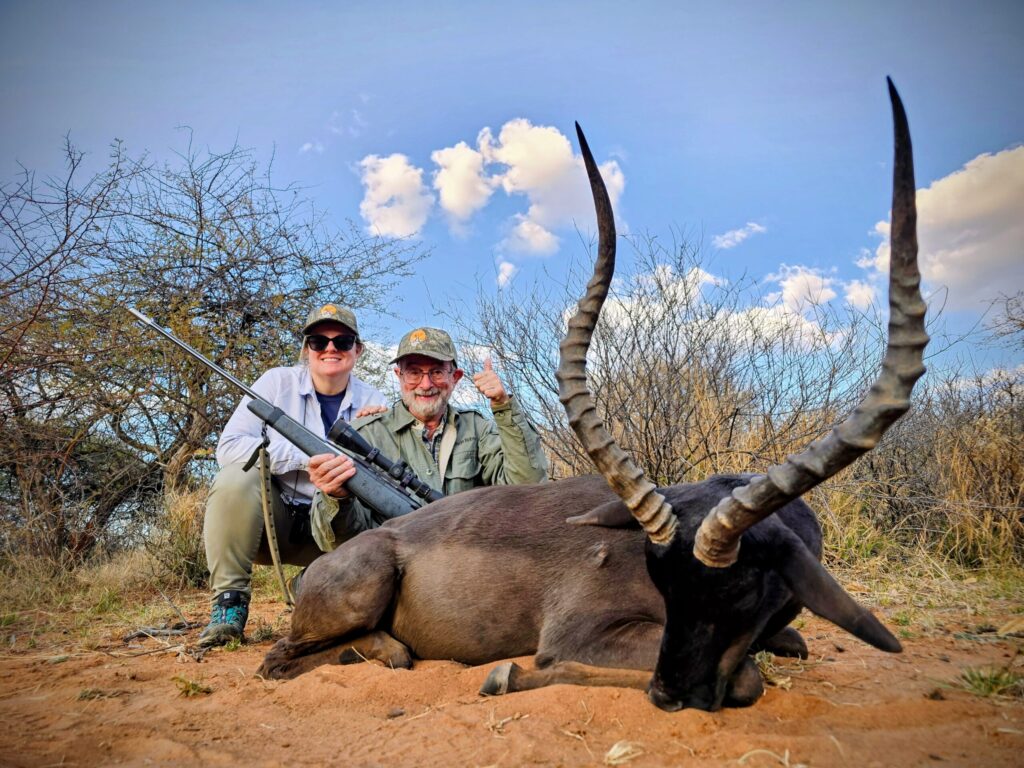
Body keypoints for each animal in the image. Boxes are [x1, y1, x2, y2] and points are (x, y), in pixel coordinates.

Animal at [258, 80, 926, 712]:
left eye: (739, 587)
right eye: (660, 576)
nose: (670, 693)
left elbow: (791, 645)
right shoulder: (585, 636)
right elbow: (744, 679)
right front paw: (508, 674)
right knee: (285, 659)